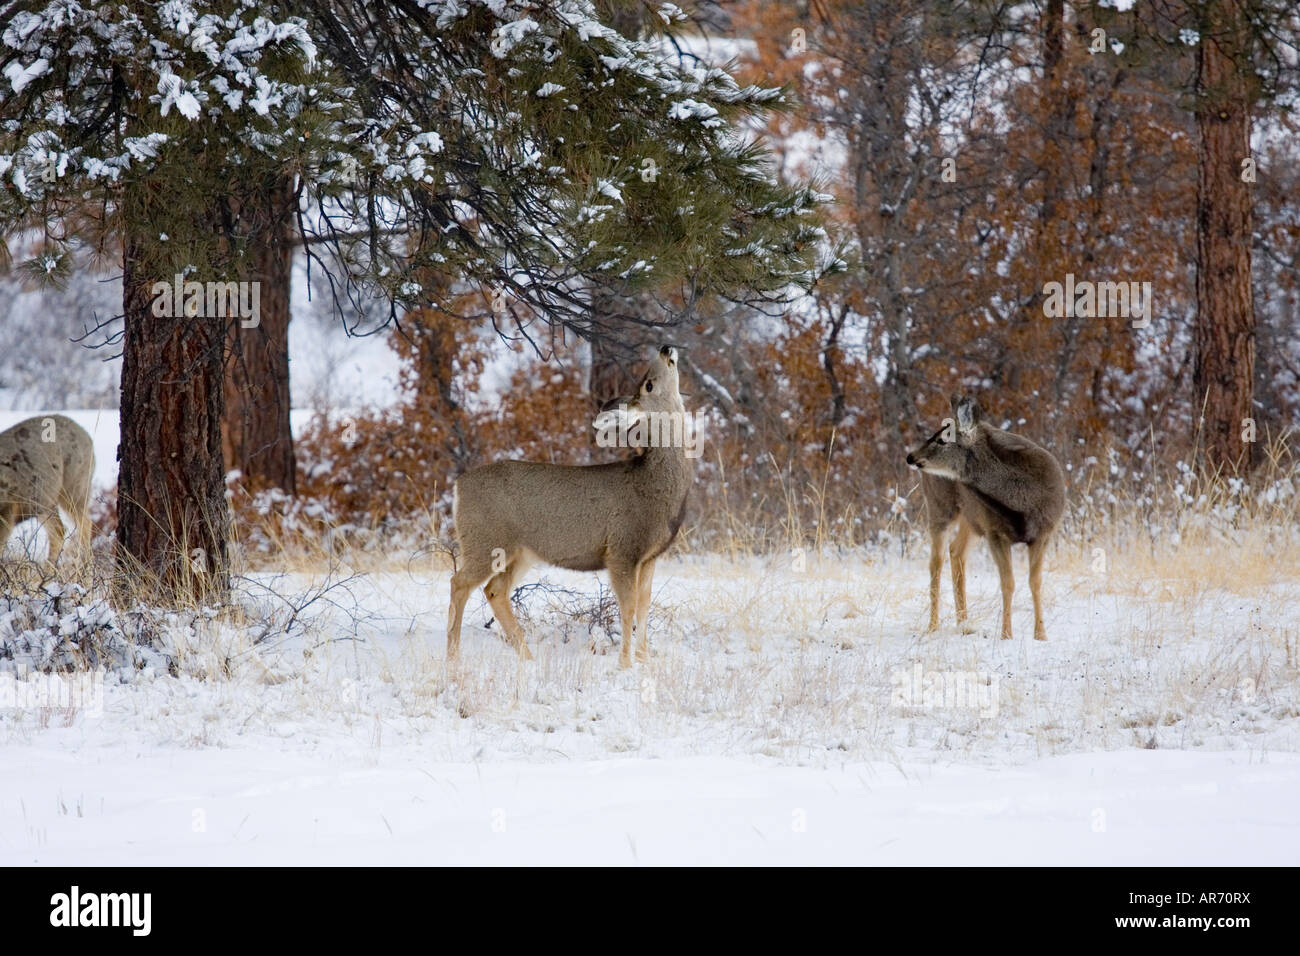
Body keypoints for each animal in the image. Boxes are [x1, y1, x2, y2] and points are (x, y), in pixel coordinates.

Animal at [0, 414, 95, 567]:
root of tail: (87, 436)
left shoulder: (6, 511)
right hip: (44, 500)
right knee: (59, 530)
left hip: (75, 487)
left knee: (84, 523)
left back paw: (85, 567)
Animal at [446, 345, 693, 667]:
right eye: (648, 384)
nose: (665, 349)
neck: (654, 485)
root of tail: (458, 486)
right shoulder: (621, 549)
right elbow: (627, 607)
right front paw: (625, 664)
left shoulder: (650, 556)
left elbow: (643, 605)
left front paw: (644, 660)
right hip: (483, 540)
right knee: (459, 583)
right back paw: (453, 656)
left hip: (519, 552)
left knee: (494, 590)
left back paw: (528, 658)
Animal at [905, 396, 1065, 641]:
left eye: (942, 440)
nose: (911, 456)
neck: (1024, 502)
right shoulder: (995, 533)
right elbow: (1008, 583)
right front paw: (1006, 634)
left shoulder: (1044, 532)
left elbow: (1035, 582)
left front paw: (1041, 635)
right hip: (941, 507)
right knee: (936, 561)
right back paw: (933, 626)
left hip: (972, 519)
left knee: (956, 551)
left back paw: (964, 623)